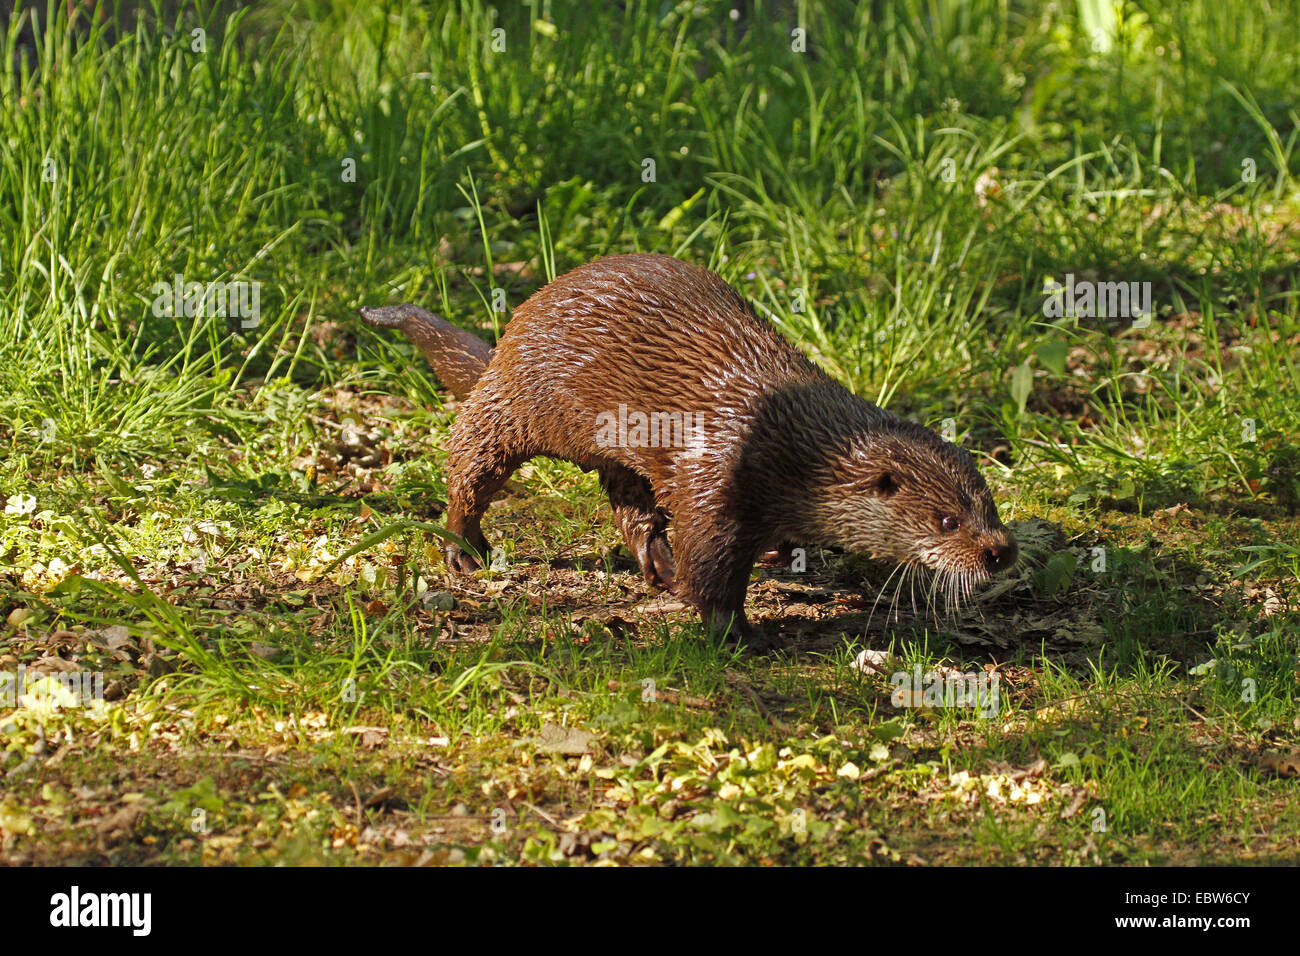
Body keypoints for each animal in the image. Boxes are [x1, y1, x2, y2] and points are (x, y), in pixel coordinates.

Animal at [360, 254, 1016, 648]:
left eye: (989, 506)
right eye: (947, 520)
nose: (1000, 551)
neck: (792, 448)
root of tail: (513, 331)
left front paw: (778, 555)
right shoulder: (716, 483)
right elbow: (711, 570)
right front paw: (739, 635)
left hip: (615, 450)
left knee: (632, 507)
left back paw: (657, 565)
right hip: (521, 402)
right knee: (469, 463)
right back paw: (464, 549)